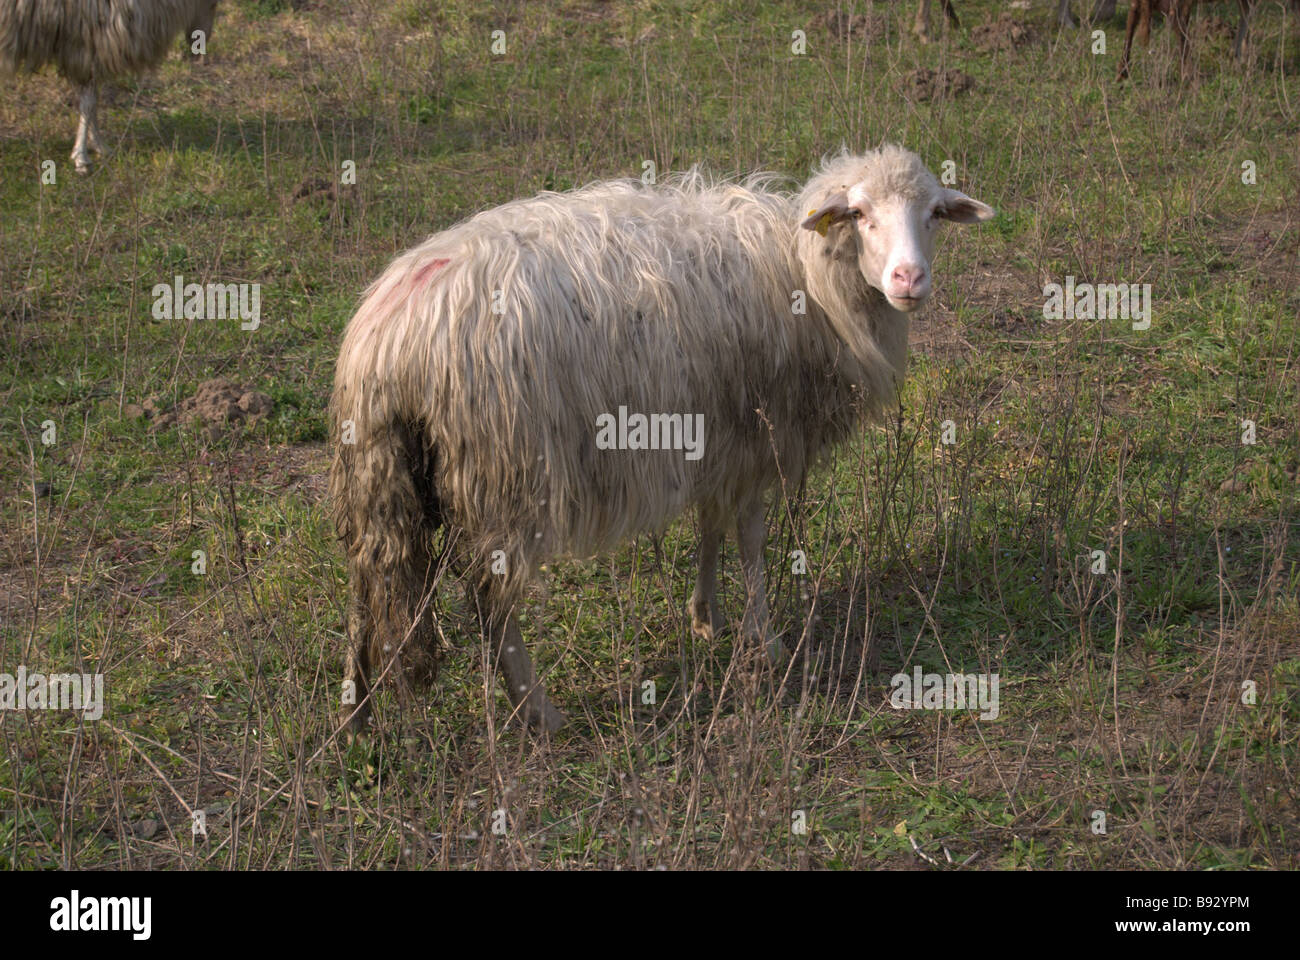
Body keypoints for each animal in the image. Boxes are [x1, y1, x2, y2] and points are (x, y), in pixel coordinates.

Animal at [0, 0, 219, 173]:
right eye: (213, 3)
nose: (200, 47)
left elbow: (91, 102)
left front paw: (98, 145)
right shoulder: (86, 44)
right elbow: (88, 102)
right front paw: (81, 157)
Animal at [329, 145, 995, 734]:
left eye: (935, 214)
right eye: (858, 213)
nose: (910, 278)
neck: (807, 275)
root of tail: (388, 332)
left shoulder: (718, 434)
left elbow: (710, 525)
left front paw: (707, 617)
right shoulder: (762, 431)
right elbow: (750, 537)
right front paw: (765, 639)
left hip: (379, 469)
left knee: (366, 584)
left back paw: (357, 719)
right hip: (504, 468)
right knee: (492, 600)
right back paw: (536, 711)